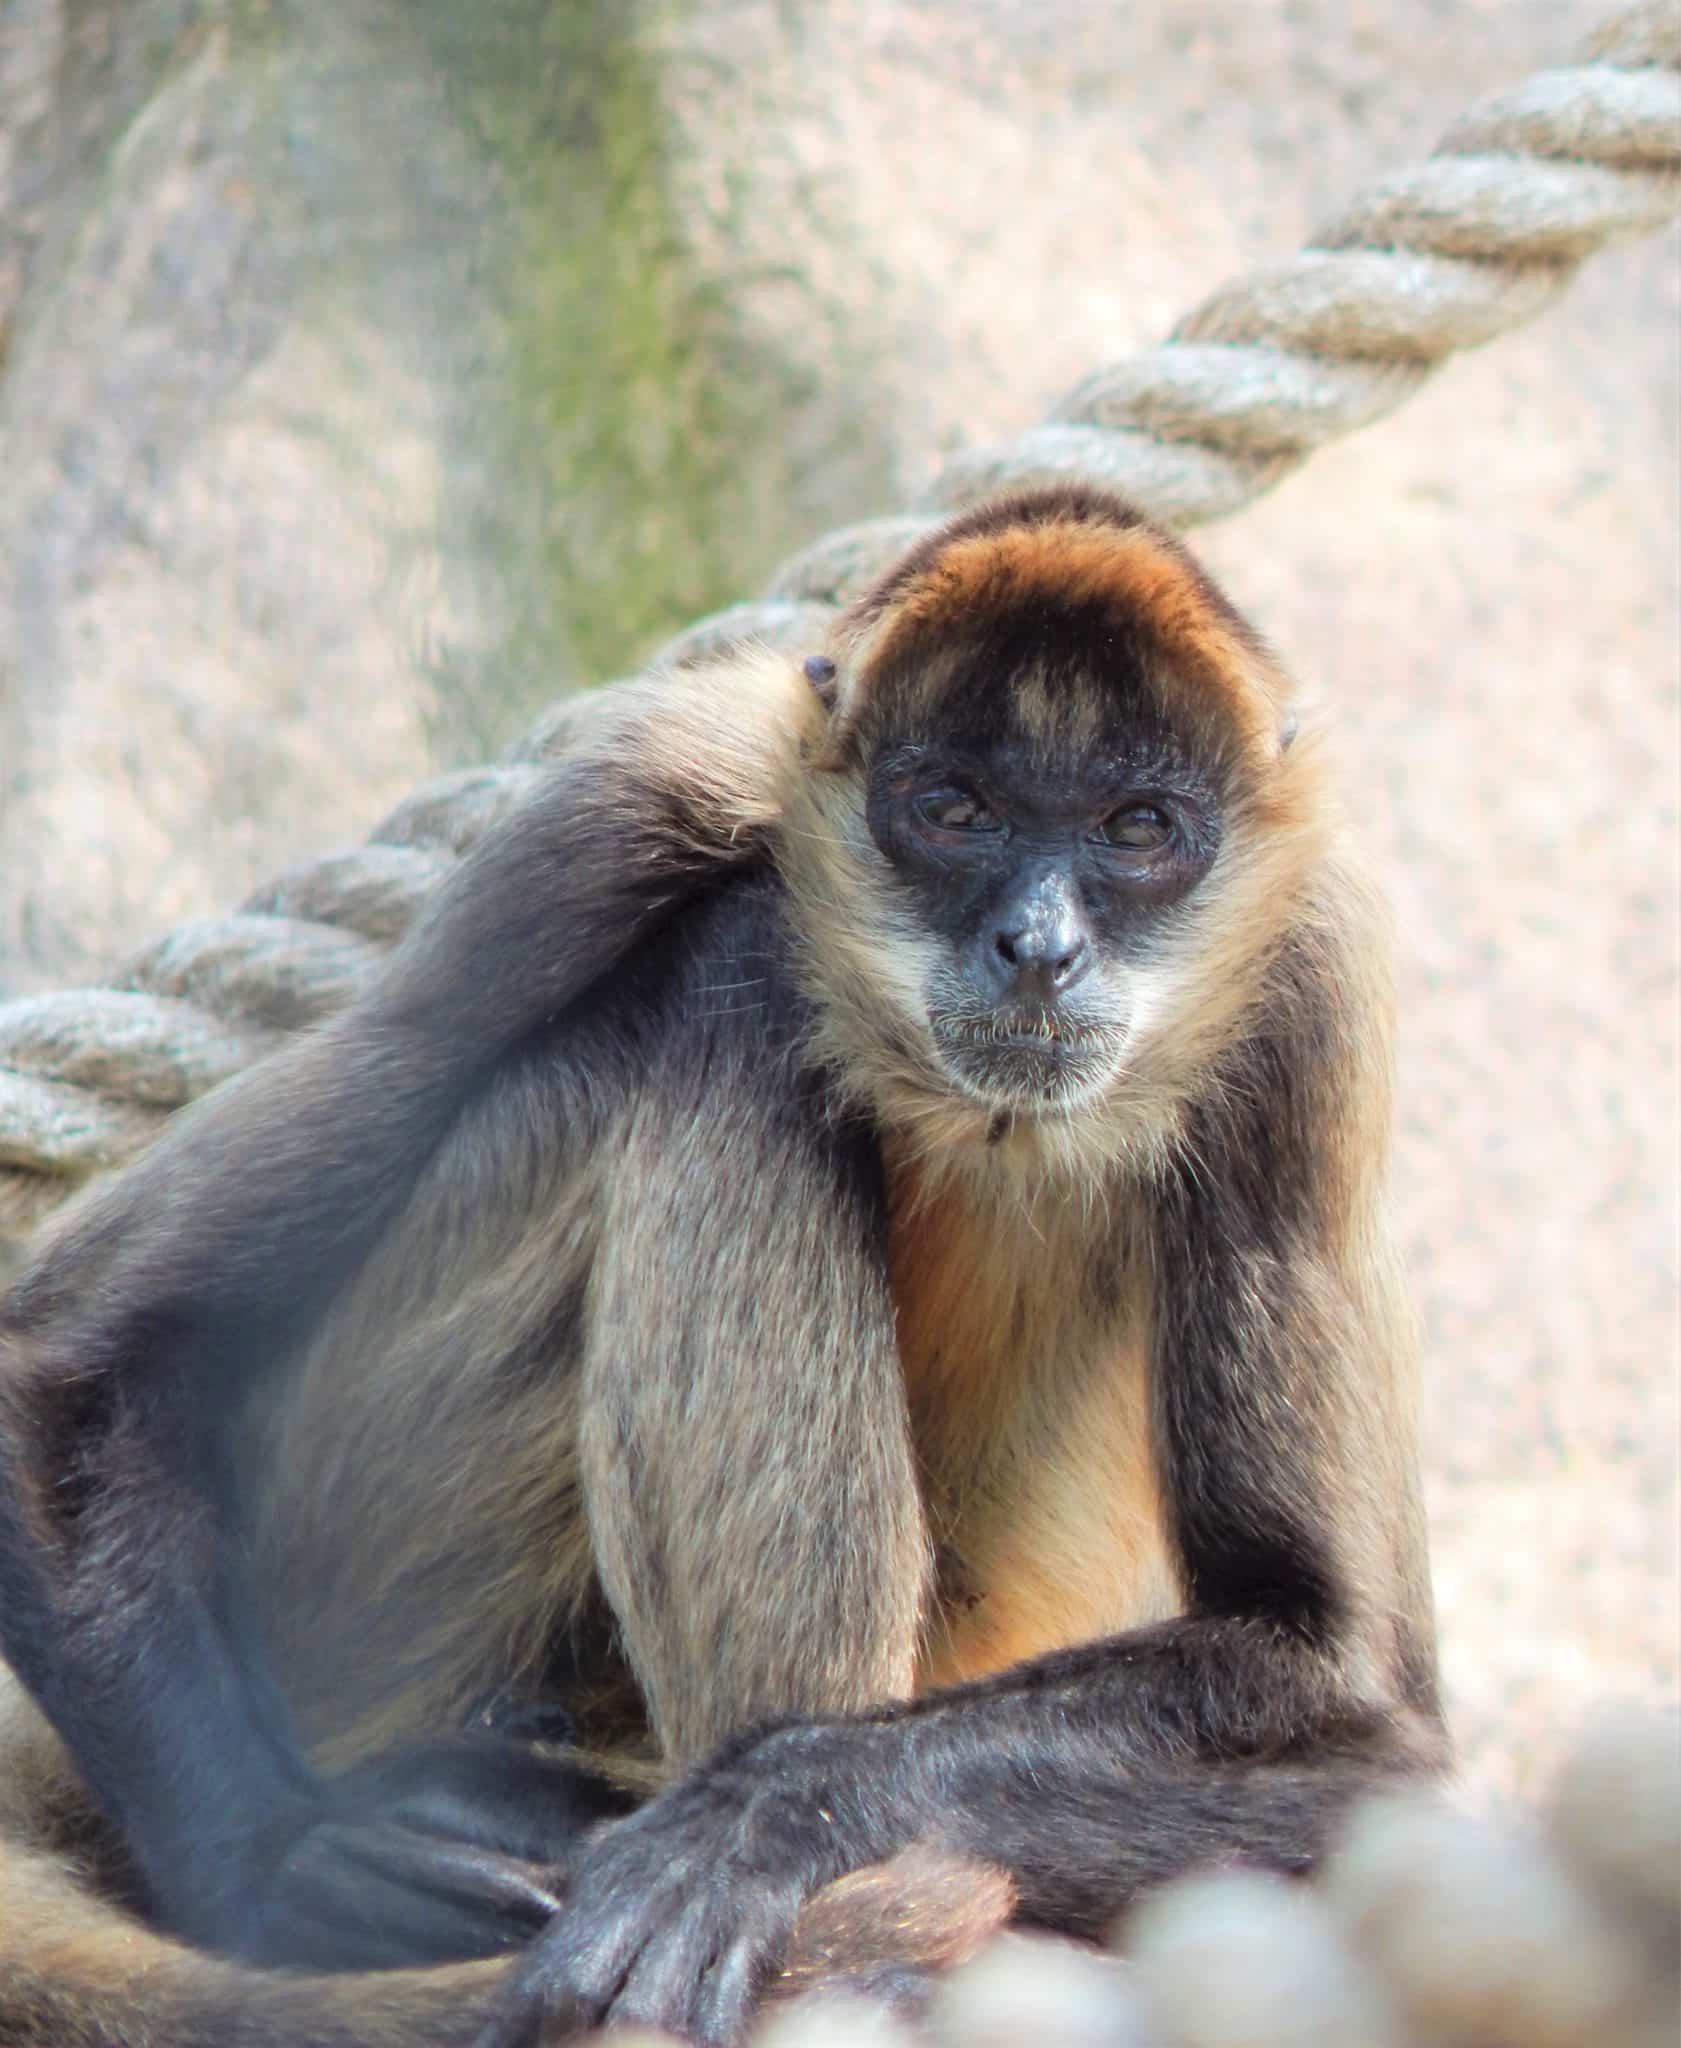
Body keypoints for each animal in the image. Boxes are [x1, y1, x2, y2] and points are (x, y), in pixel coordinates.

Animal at [0, 484, 1446, 2047]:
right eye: (952, 812)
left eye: (1138, 830)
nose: (1037, 947)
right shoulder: (622, 803)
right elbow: (66, 1352)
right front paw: (282, 1863)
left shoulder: (1312, 967)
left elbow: (1373, 1732)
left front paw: (765, 1814)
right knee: (734, 965)